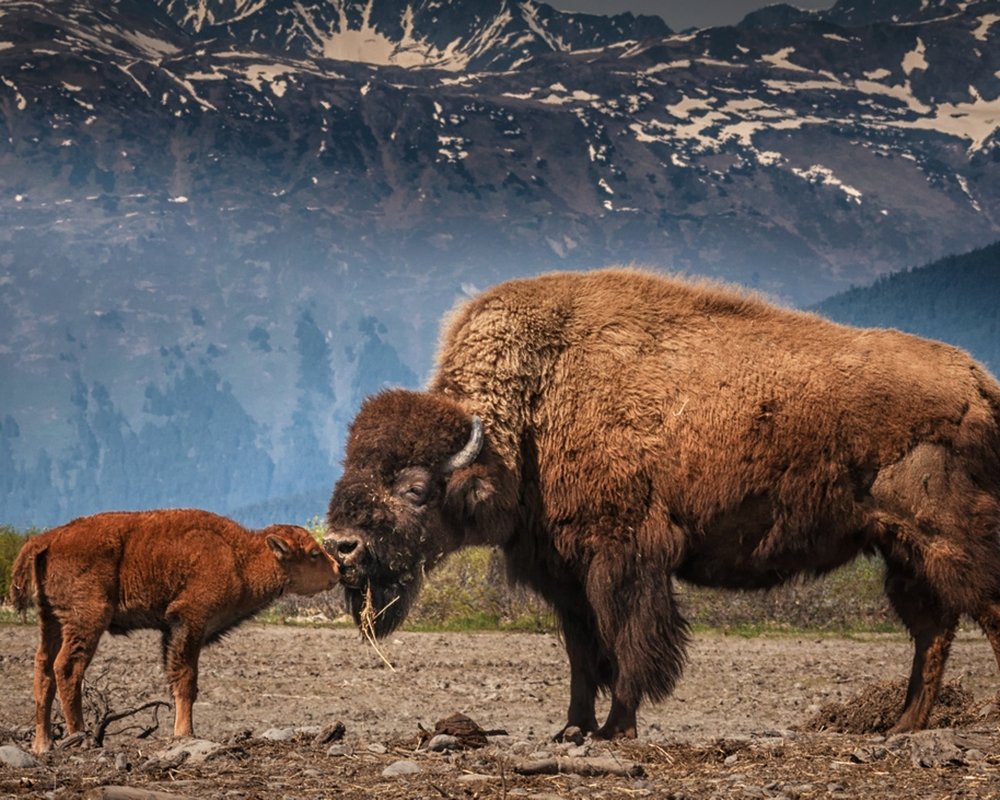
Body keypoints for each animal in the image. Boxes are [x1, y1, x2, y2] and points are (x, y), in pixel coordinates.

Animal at [325, 268, 1000, 739]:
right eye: (349, 469)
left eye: (415, 489)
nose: (340, 546)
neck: (531, 409)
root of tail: (976, 382)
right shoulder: (565, 572)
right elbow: (583, 653)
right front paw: (571, 729)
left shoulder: (623, 556)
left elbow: (629, 645)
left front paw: (615, 730)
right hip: (901, 549)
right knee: (933, 629)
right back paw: (901, 727)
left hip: (947, 537)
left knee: (979, 610)